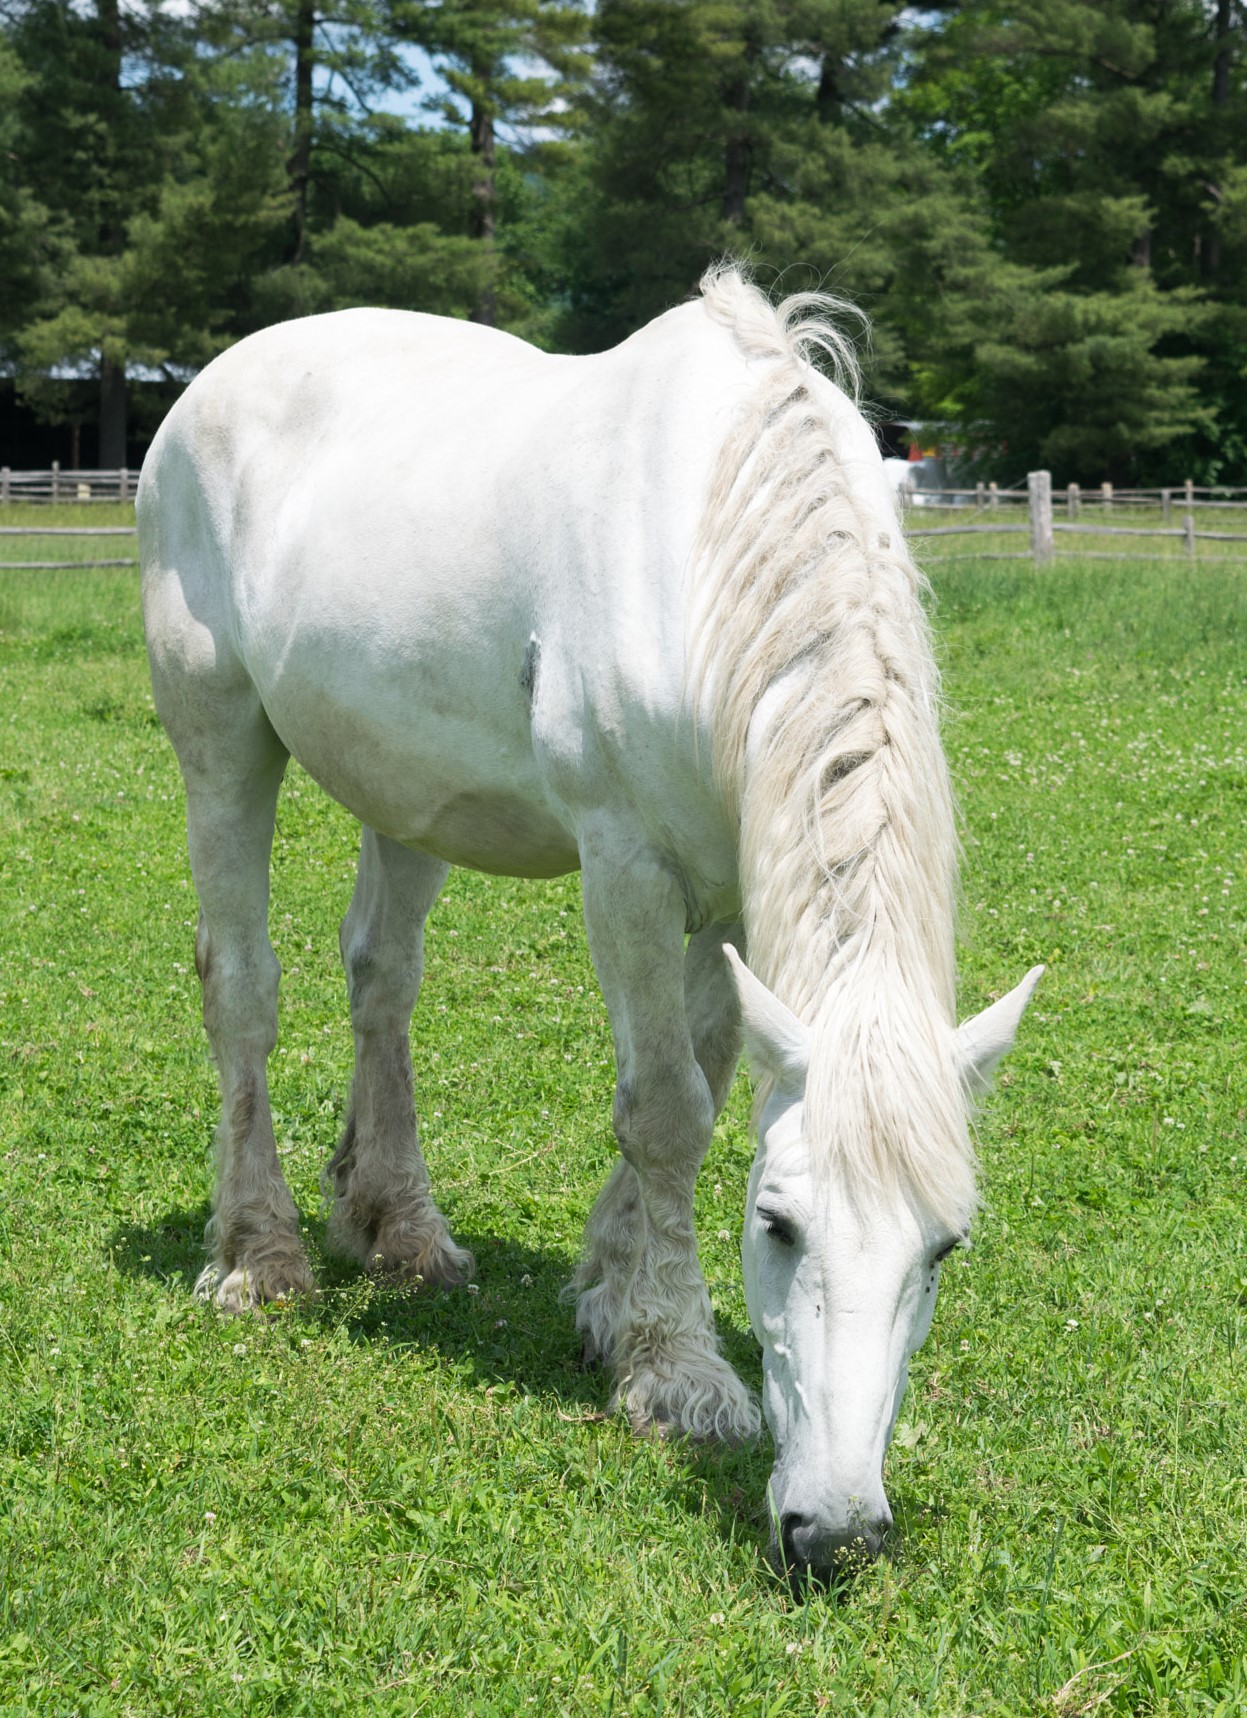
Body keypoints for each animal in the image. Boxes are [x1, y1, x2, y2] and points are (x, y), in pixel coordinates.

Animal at [138, 264, 1041, 1583]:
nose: (837, 1530)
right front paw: (676, 1367)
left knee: (381, 978)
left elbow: (702, 1083)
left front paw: (614, 1301)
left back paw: (397, 1225)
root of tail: (213, 379)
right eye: (776, 1224)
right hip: (220, 740)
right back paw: (259, 1254)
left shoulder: (727, 892)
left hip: (399, 783)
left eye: (942, 1246)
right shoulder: (625, 865)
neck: (709, 543)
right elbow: (664, 1108)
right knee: (241, 986)